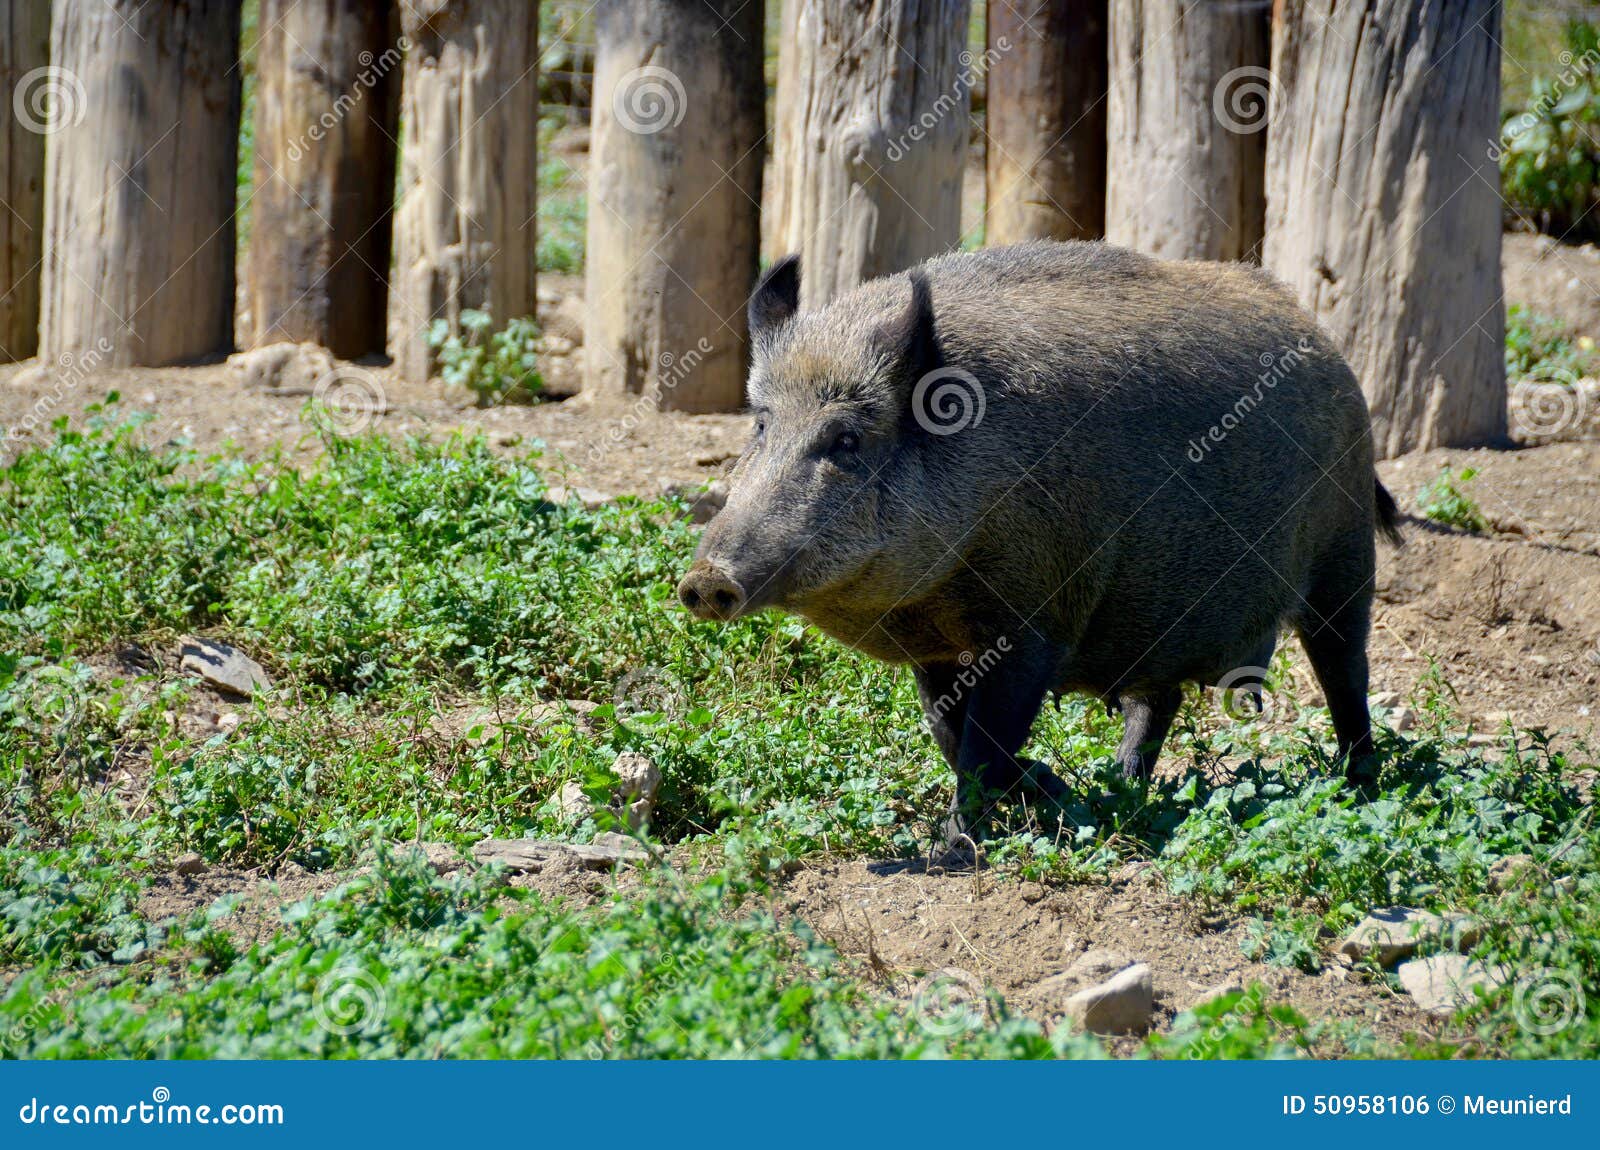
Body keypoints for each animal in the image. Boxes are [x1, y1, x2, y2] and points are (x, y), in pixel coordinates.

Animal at [677, 240, 1402, 847]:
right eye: (761, 425)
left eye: (846, 439)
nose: (705, 580)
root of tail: (1328, 348)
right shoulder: (937, 653)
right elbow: (951, 735)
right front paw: (1052, 795)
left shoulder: (1036, 620)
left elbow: (985, 744)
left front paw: (953, 851)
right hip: (1160, 614)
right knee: (1157, 700)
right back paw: (1122, 792)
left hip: (1344, 561)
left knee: (1346, 673)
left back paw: (1360, 788)